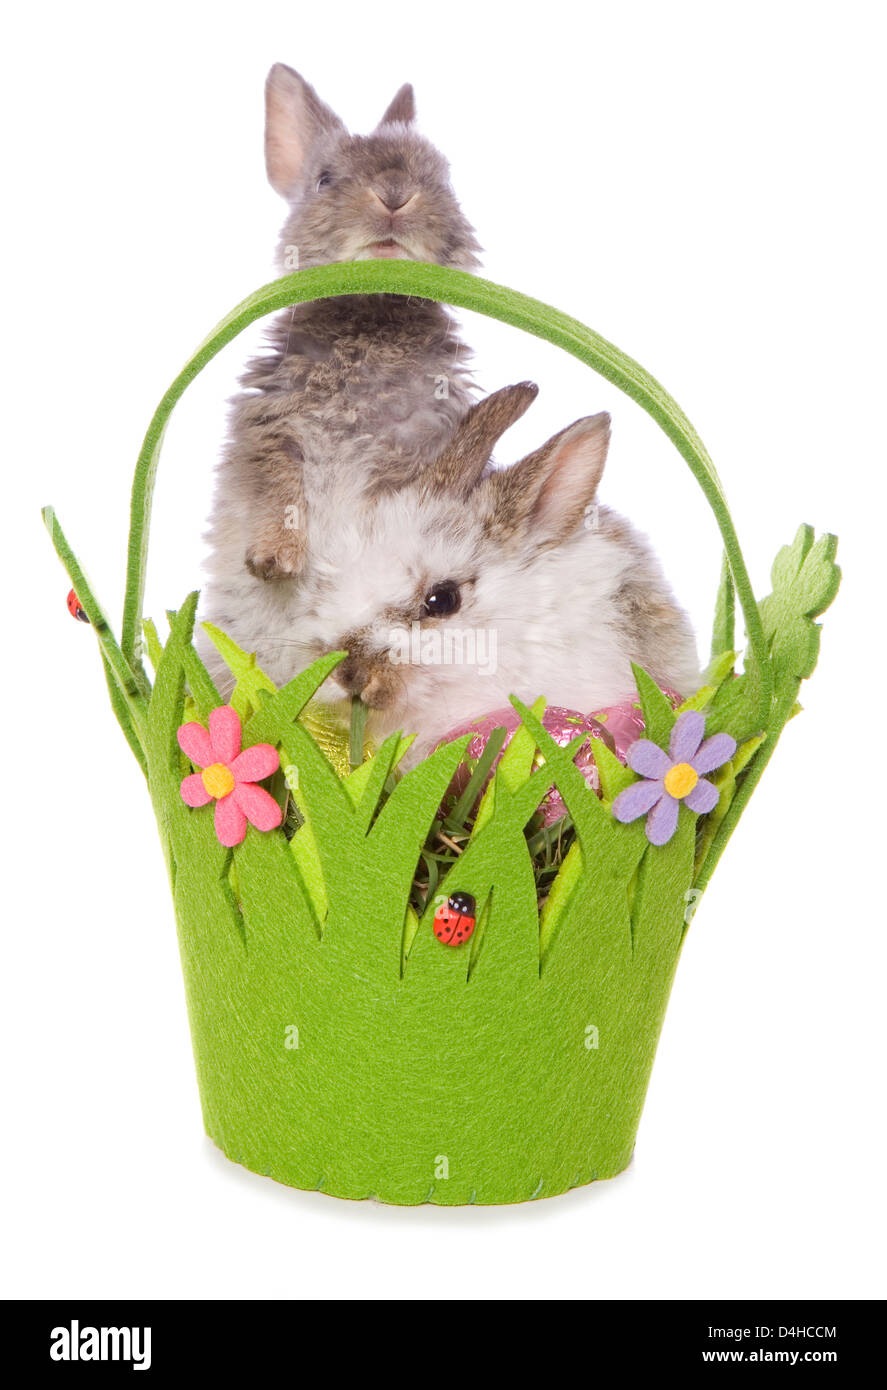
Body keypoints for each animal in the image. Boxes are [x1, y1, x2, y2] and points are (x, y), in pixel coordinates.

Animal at [200, 62, 481, 642]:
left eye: (443, 180)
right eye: (325, 180)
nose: (394, 194)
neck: (372, 316)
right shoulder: (270, 427)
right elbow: (278, 488)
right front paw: (273, 560)